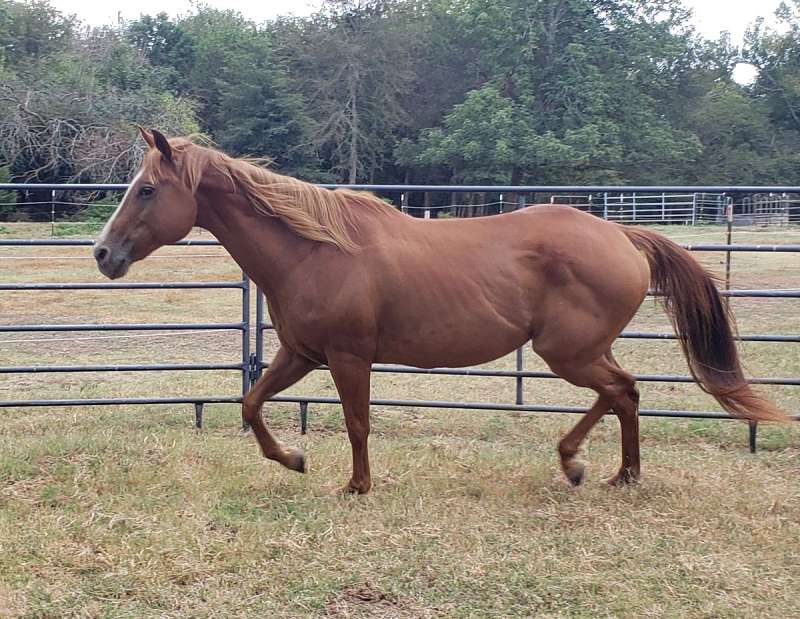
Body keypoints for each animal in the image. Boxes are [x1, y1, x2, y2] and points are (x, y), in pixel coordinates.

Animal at [93, 128, 789, 494]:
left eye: (147, 189)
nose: (103, 254)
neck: (316, 248)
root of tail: (623, 235)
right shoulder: (301, 353)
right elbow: (251, 402)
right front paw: (293, 460)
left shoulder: (348, 358)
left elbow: (357, 424)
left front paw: (356, 486)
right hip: (580, 350)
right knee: (624, 392)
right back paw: (608, 470)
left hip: (566, 351)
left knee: (620, 390)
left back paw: (590, 466)